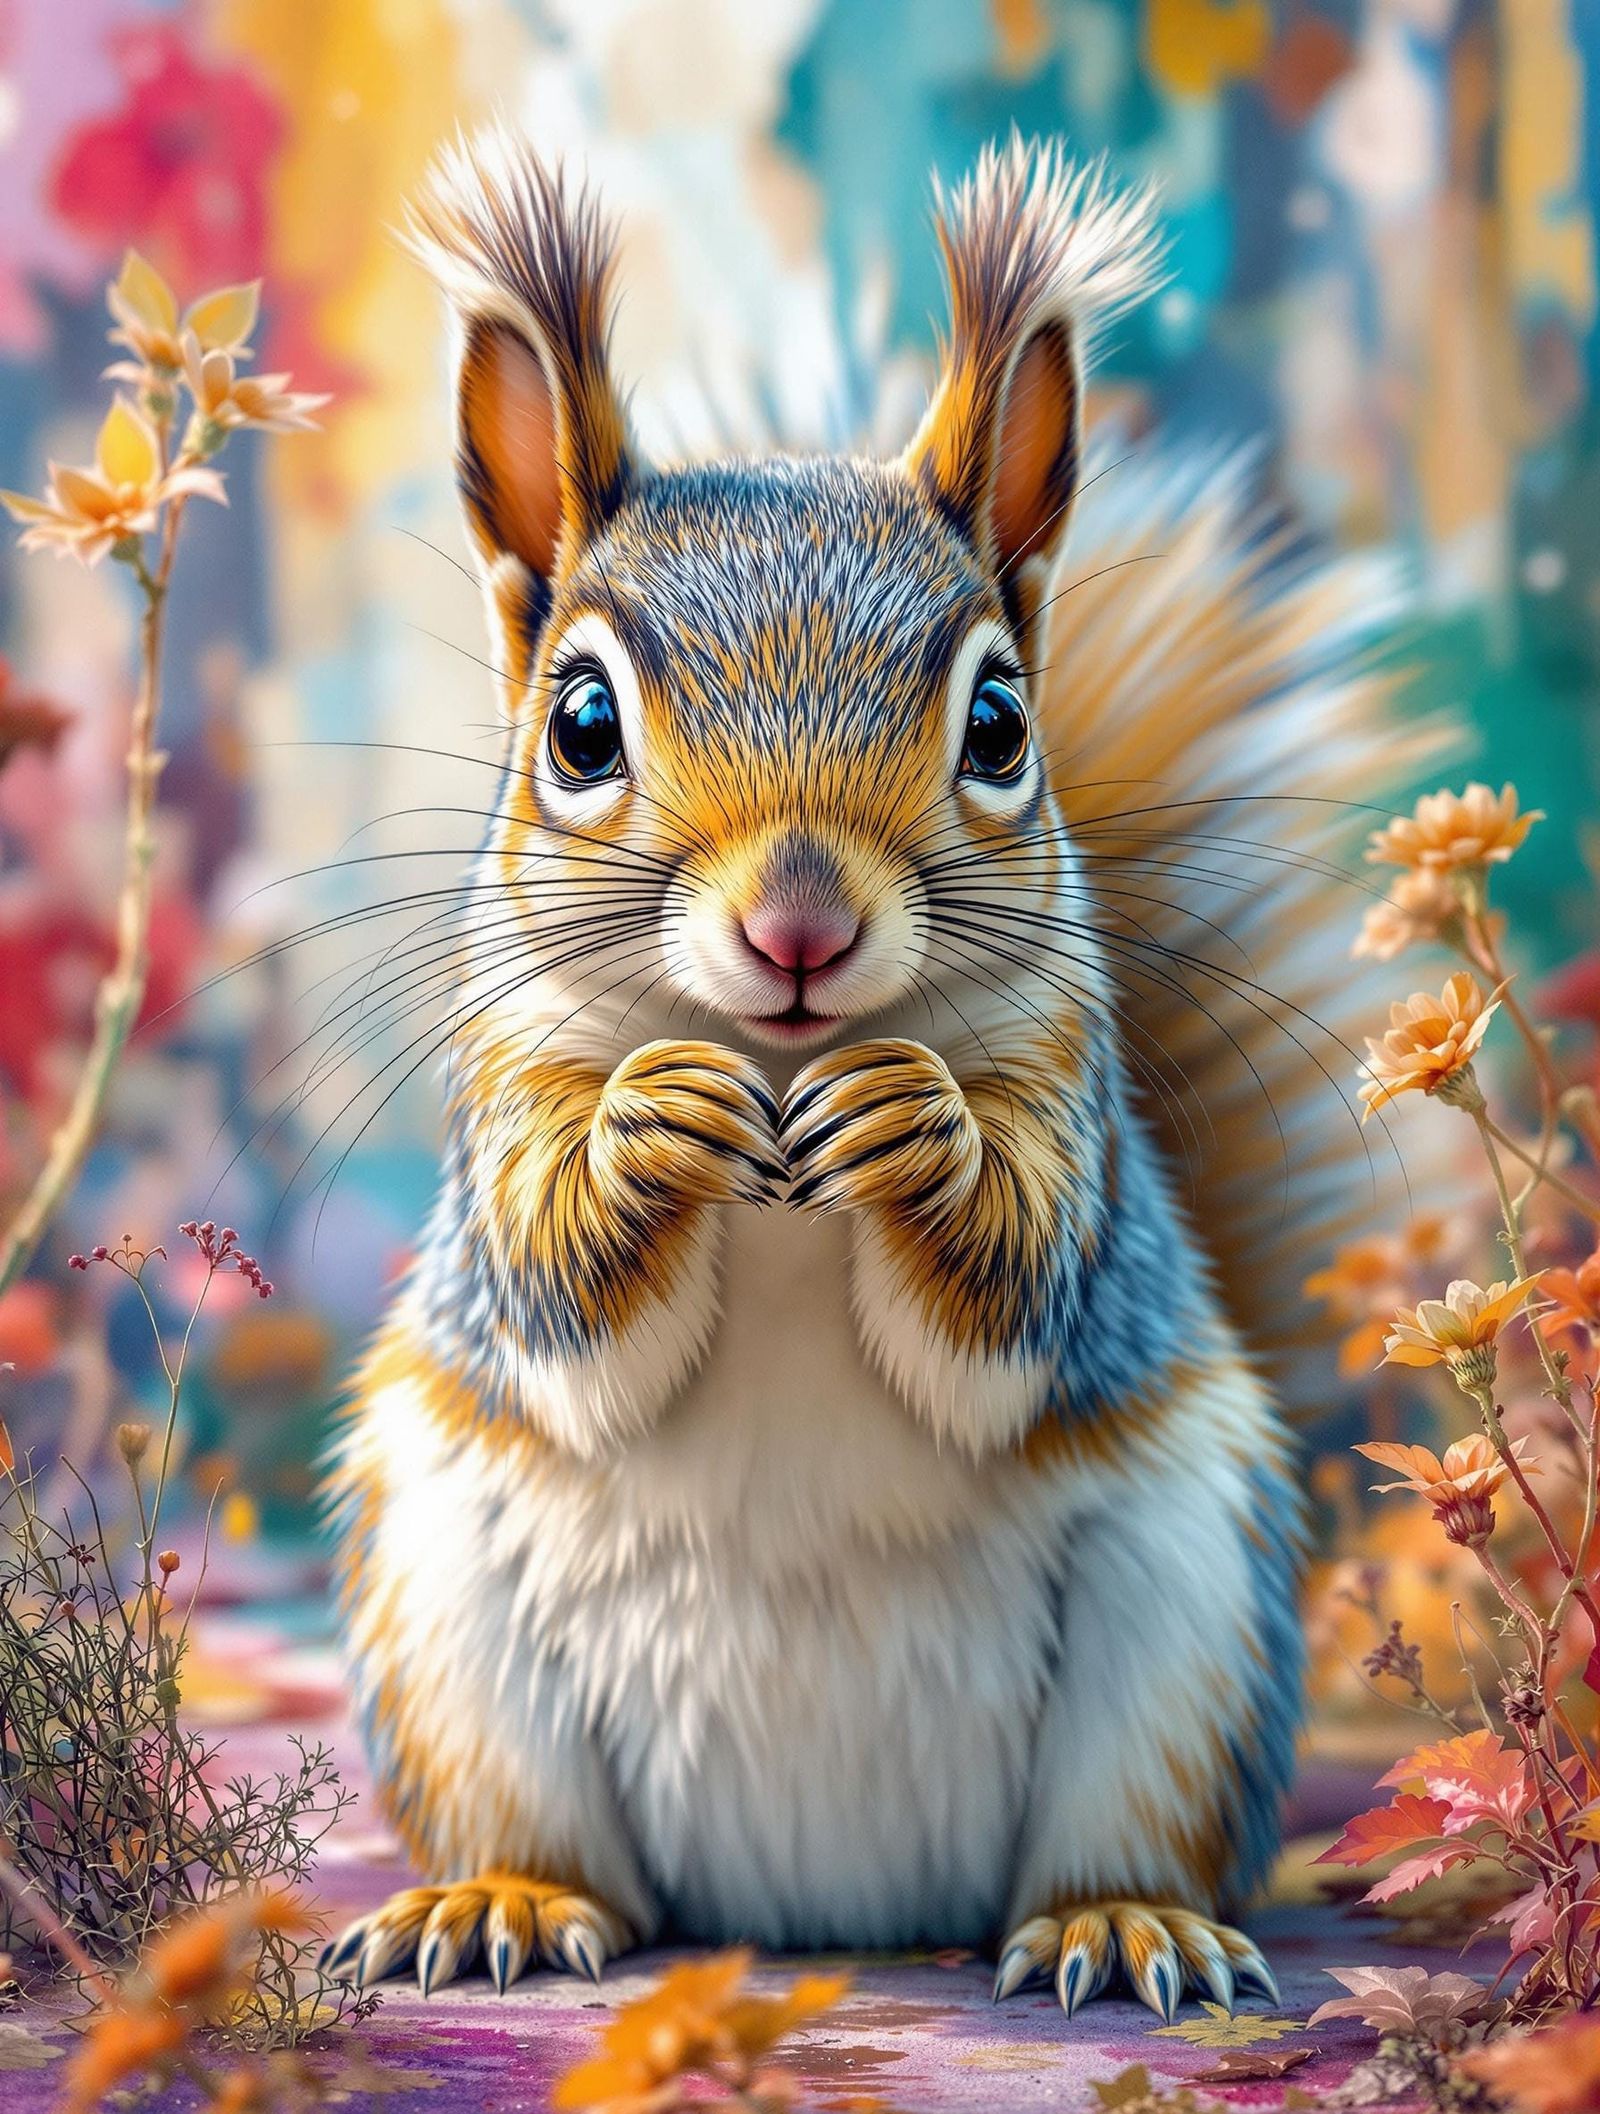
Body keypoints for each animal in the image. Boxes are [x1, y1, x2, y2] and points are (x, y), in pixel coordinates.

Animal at [321, 128, 1436, 2020]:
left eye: (999, 721)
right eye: (580, 726)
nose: (799, 920)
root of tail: (826, 1903)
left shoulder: (1072, 1104)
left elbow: (1008, 1305)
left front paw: (921, 1135)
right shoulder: (501, 1098)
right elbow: (567, 1309)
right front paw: (647, 1133)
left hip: (1189, 1613)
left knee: (1120, 1833)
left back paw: (1122, 1919)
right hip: (447, 1612)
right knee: (555, 1838)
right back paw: (498, 1895)